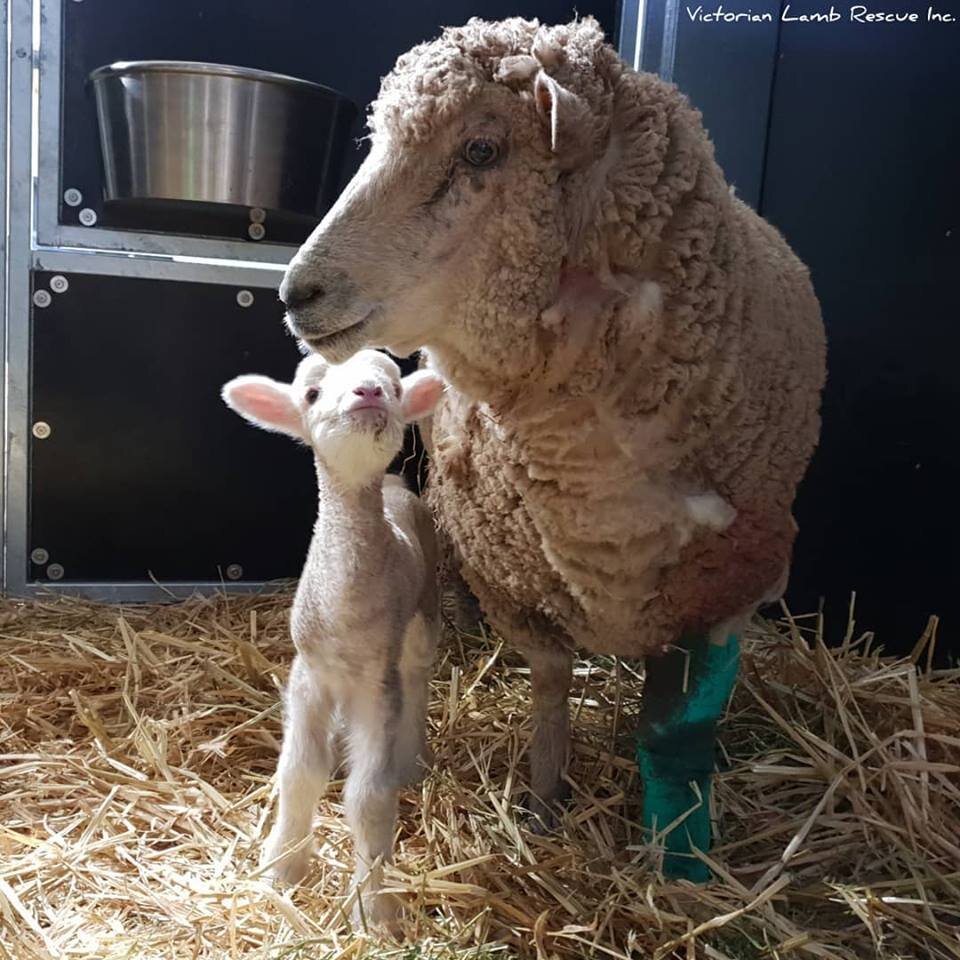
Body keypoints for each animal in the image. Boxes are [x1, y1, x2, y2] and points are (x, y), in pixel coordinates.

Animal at [221, 349, 444, 923]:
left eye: (394, 388)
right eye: (312, 393)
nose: (368, 393)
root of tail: (395, 486)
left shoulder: (376, 686)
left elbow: (368, 799)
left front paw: (375, 907)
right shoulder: (309, 675)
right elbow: (298, 775)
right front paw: (281, 870)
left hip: (423, 613)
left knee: (418, 675)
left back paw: (410, 761)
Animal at [276, 17, 827, 877]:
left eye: (481, 150)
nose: (297, 293)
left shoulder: (724, 592)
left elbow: (676, 726)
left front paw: (680, 849)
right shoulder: (521, 591)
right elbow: (548, 694)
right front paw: (541, 808)